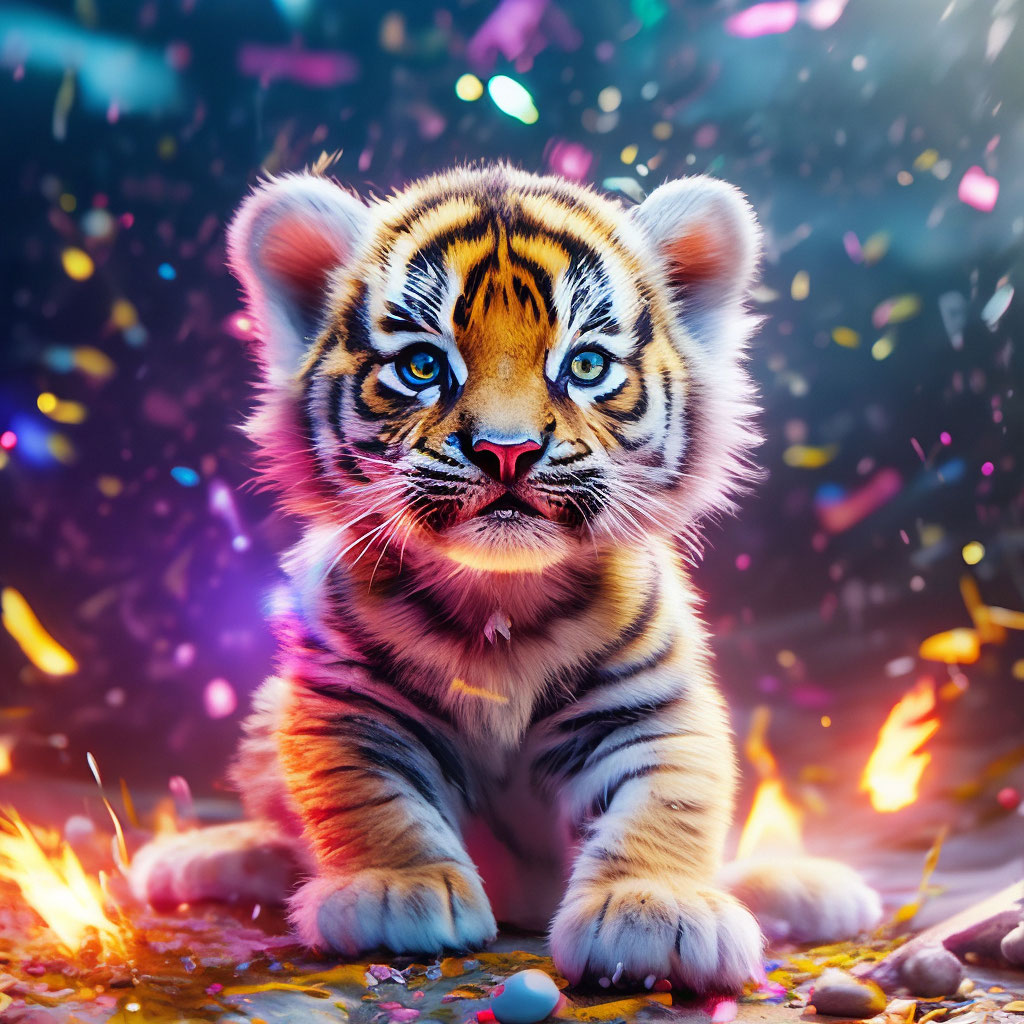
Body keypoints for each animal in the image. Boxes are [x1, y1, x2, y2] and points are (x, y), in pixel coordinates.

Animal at [130, 164, 882, 994]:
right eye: (423, 366)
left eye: (585, 365)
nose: (506, 451)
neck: (500, 599)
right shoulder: (346, 697)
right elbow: (362, 791)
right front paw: (396, 889)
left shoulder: (644, 700)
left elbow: (667, 792)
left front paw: (652, 907)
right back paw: (199, 857)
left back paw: (809, 887)